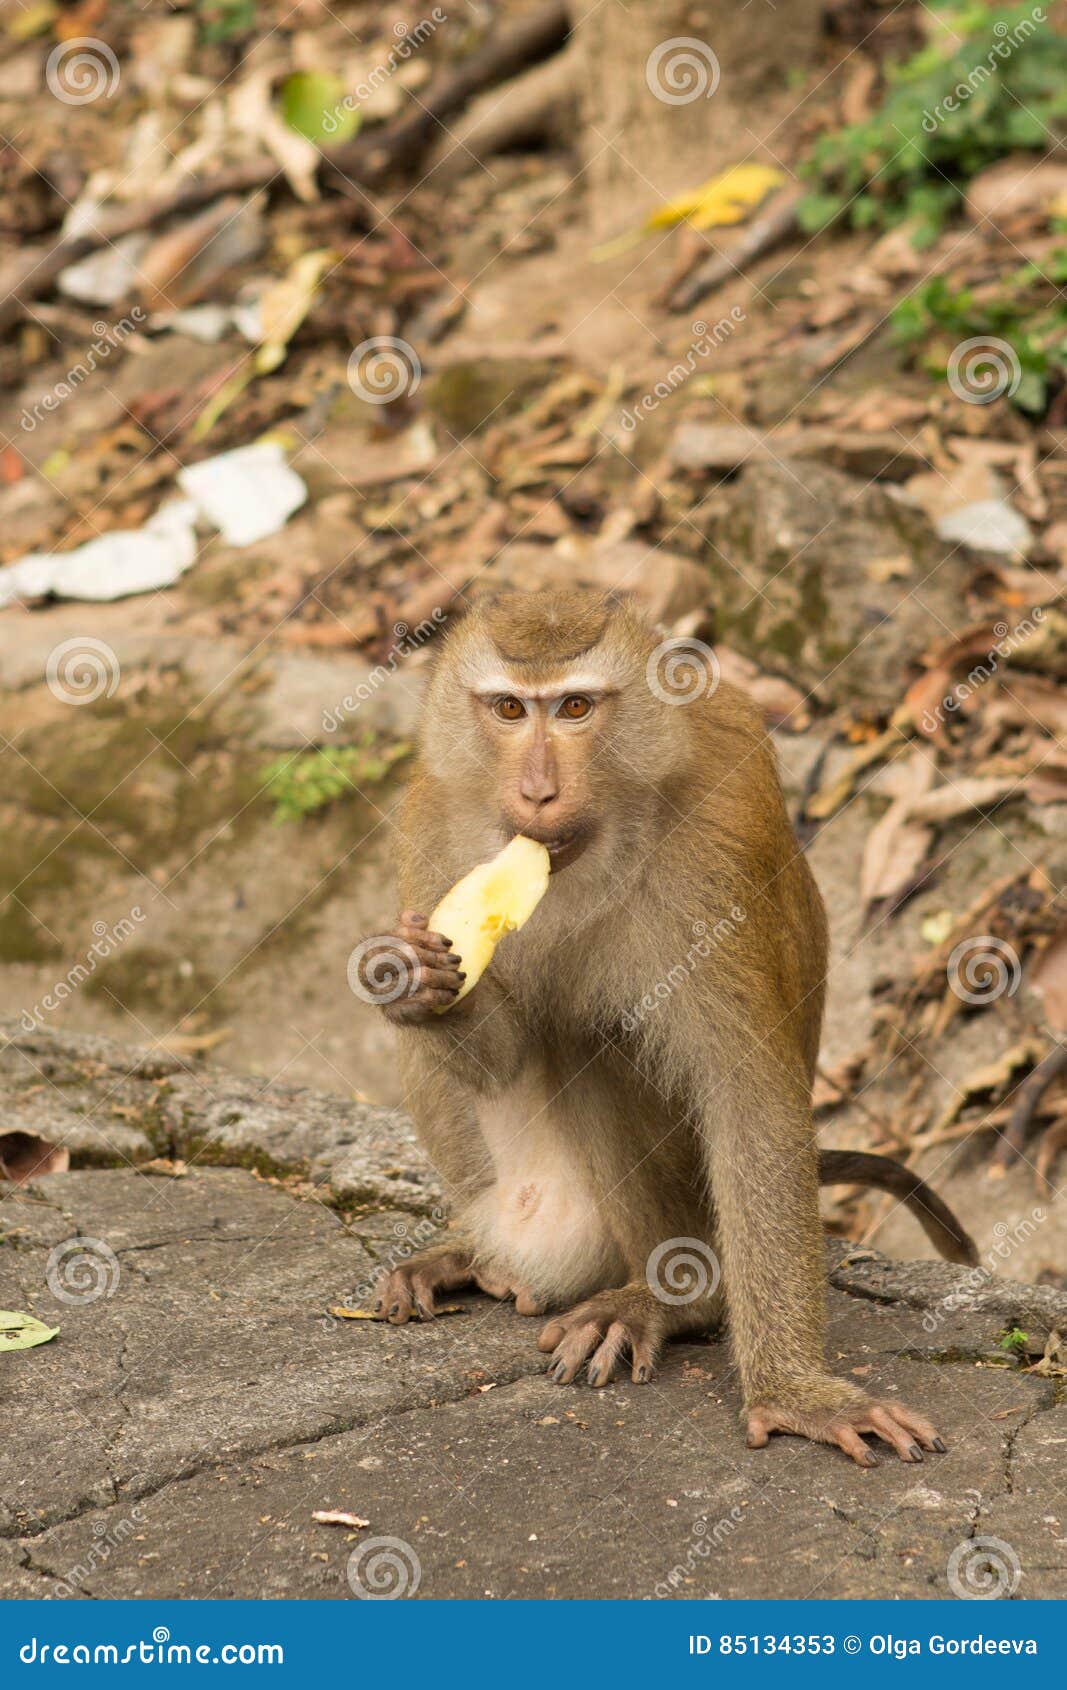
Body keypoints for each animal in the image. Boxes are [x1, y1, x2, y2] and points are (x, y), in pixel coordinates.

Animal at [356, 587, 975, 1466]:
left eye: (575, 708)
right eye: (509, 709)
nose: (536, 792)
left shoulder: (712, 858)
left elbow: (748, 1097)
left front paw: (794, 1392)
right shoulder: (431, 824)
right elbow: (498, 1055)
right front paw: (419, 984)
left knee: (601, 1044)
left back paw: (671, 1299)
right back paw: (473, 1256)